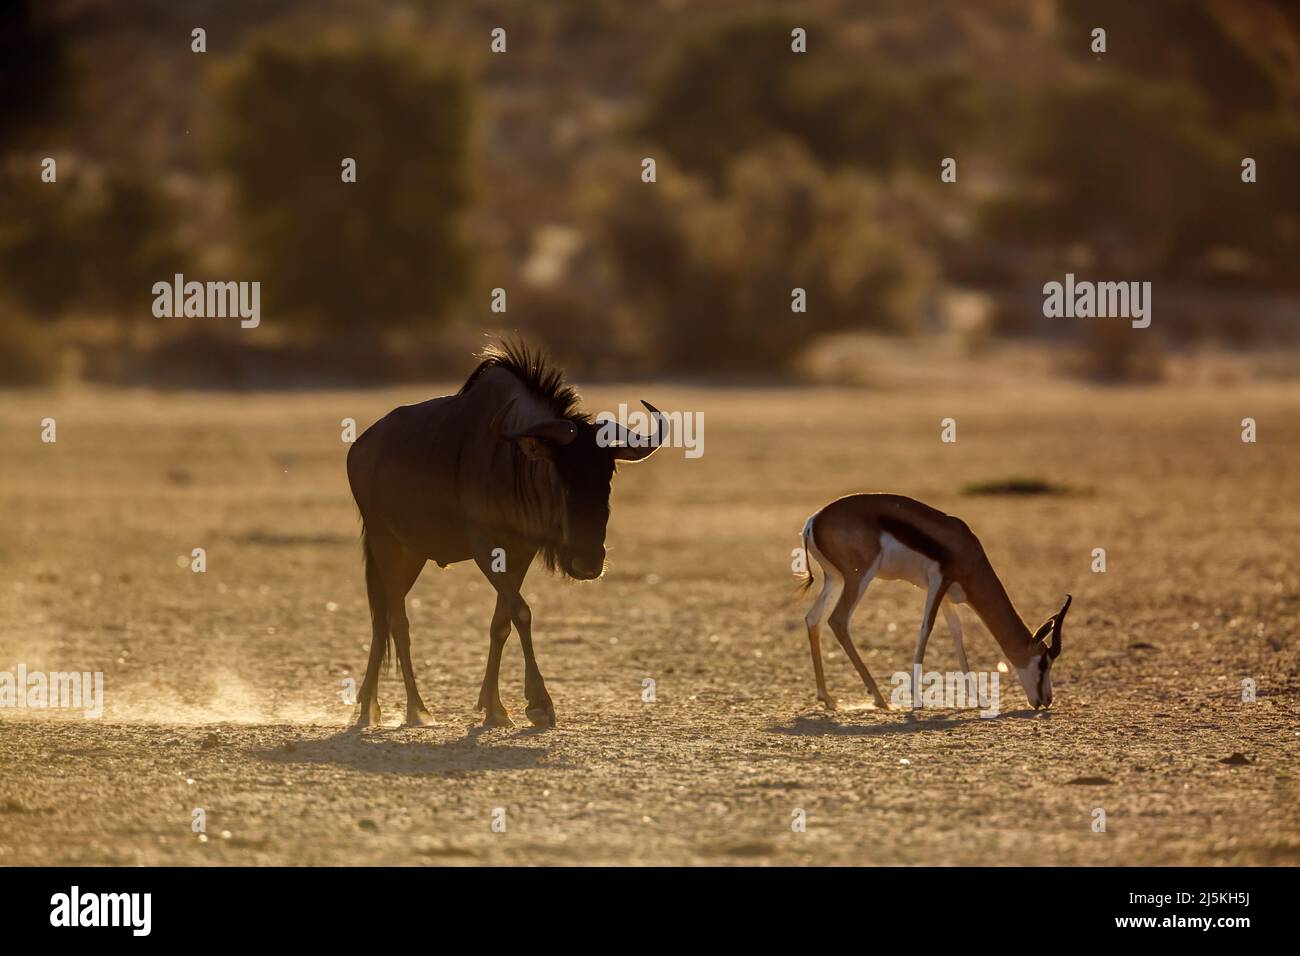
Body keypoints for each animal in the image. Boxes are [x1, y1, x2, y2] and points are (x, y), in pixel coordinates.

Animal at [799, 493, 1071, 712]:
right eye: (1044, 661)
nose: (1046, 700)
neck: (967, 549)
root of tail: (813, 521)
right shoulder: (939, 581)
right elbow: (926, 629)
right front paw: (916, 699)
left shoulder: (947, 594)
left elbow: (957, 632)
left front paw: (980, 699)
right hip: (859, 577)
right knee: (838, 620)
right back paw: (880, 699)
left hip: (835, 579)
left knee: (813, 618)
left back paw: (828, 699)